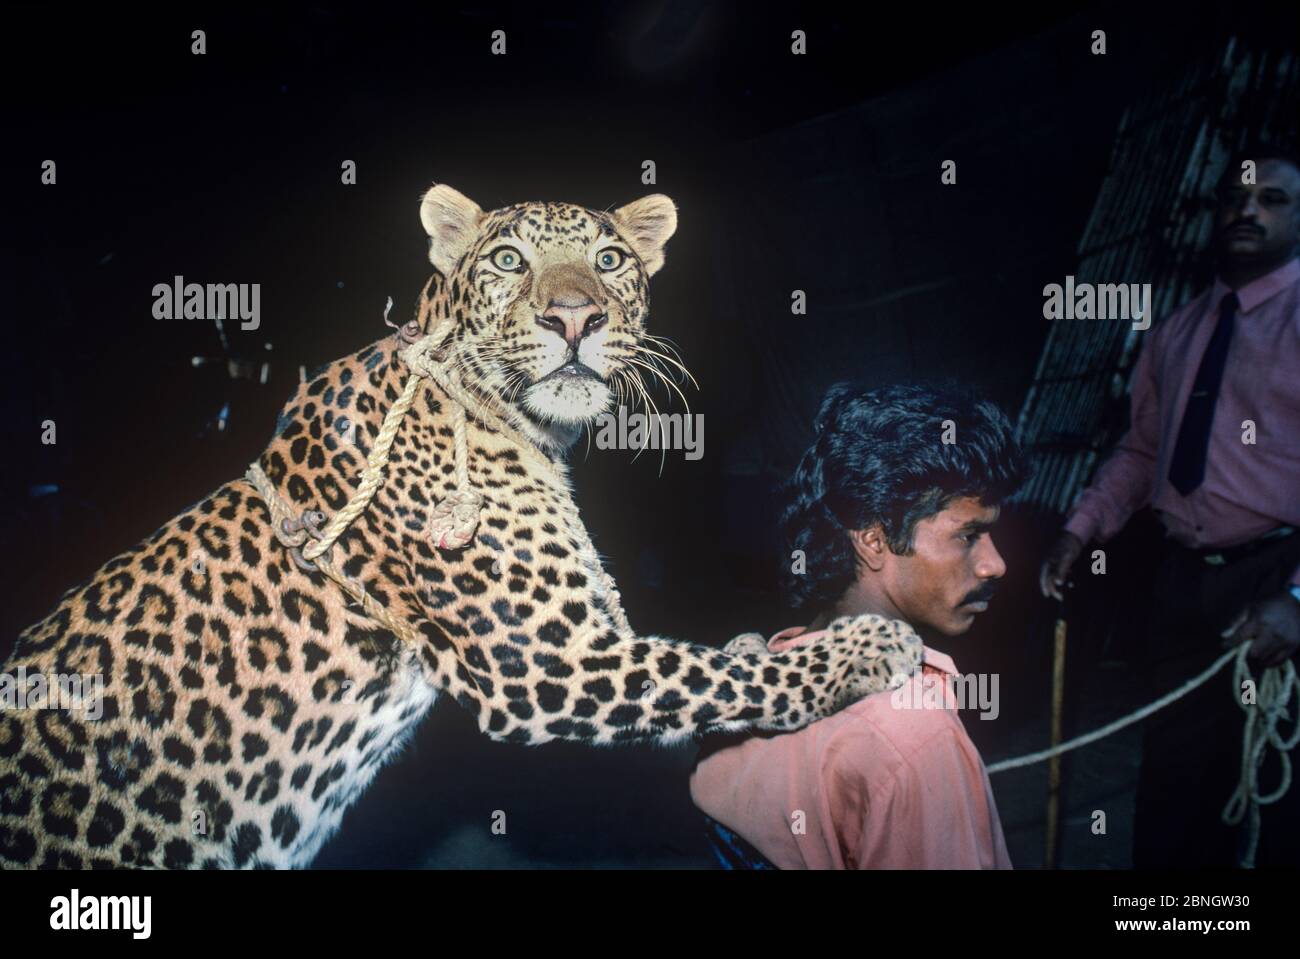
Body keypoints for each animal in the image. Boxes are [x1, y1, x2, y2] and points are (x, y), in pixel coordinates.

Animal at [0, 184, 923, 869]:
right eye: (510, 261)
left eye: (610, 260)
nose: (575, 319)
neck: (514, 422)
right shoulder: (545, 658)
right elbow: (712, 674)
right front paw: (870, 645)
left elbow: (709, 667)